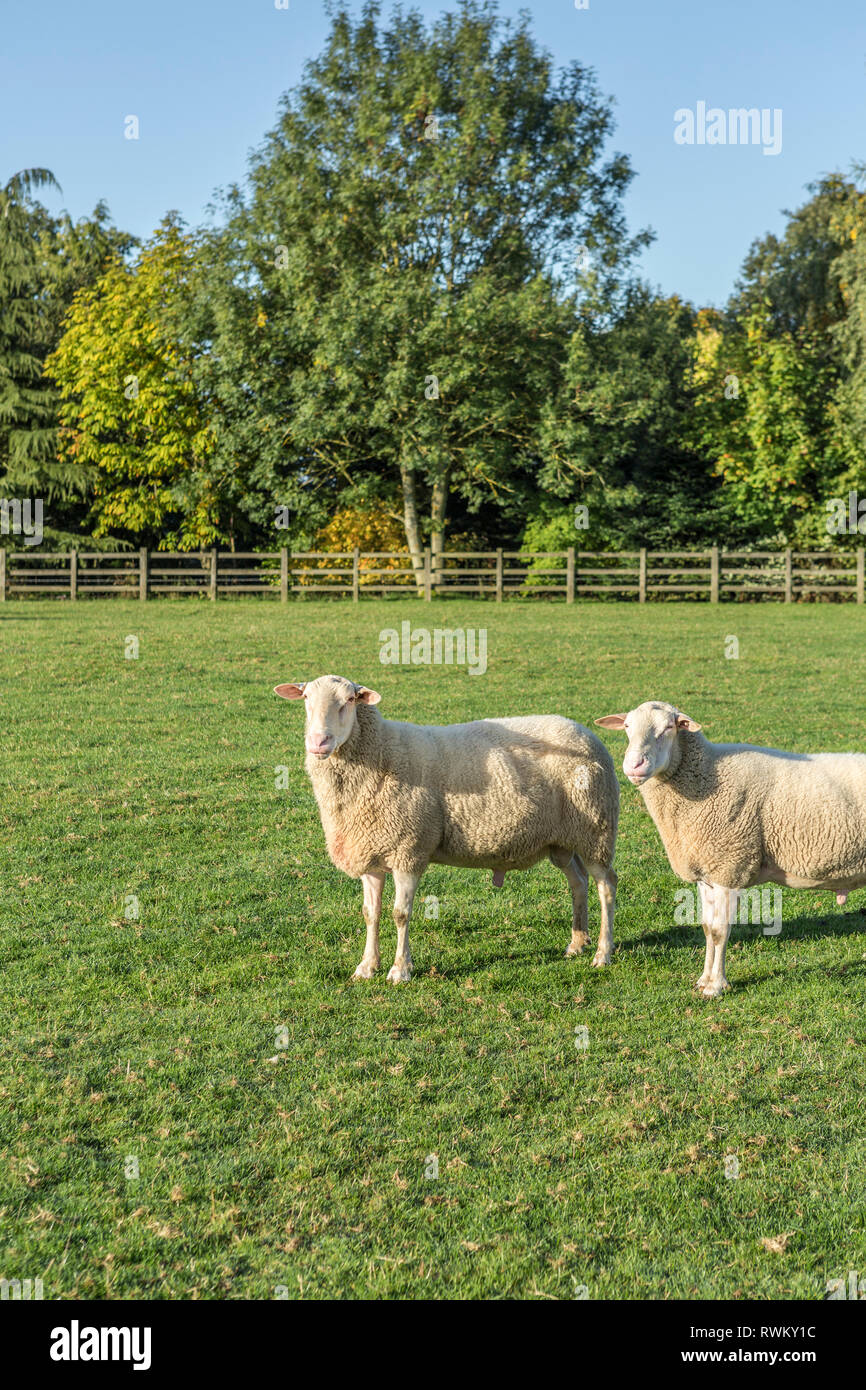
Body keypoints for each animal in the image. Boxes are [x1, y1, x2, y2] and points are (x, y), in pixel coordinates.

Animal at [273, 669, 619, 978]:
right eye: (306, 698)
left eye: (349, 700)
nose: (319, 741)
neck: (380, 753)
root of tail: (585, 732)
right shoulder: (370, 852)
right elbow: (371, 914)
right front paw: (366, 967)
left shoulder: (409, 850)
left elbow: (401, 914)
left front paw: (400, 970)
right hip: (562, 839)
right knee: (578, 882)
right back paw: (577, 943)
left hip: (596, 829)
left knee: (606, 885)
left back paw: (603, 953)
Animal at [592, 706, 866, 1000]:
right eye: (627, 727)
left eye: (668, 728)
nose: (634, 765)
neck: (707, 775)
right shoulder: (707, 874)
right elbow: (706, 928)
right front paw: (704, 980)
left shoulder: (729, 868)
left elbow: (719, 931)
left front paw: (715, 986)